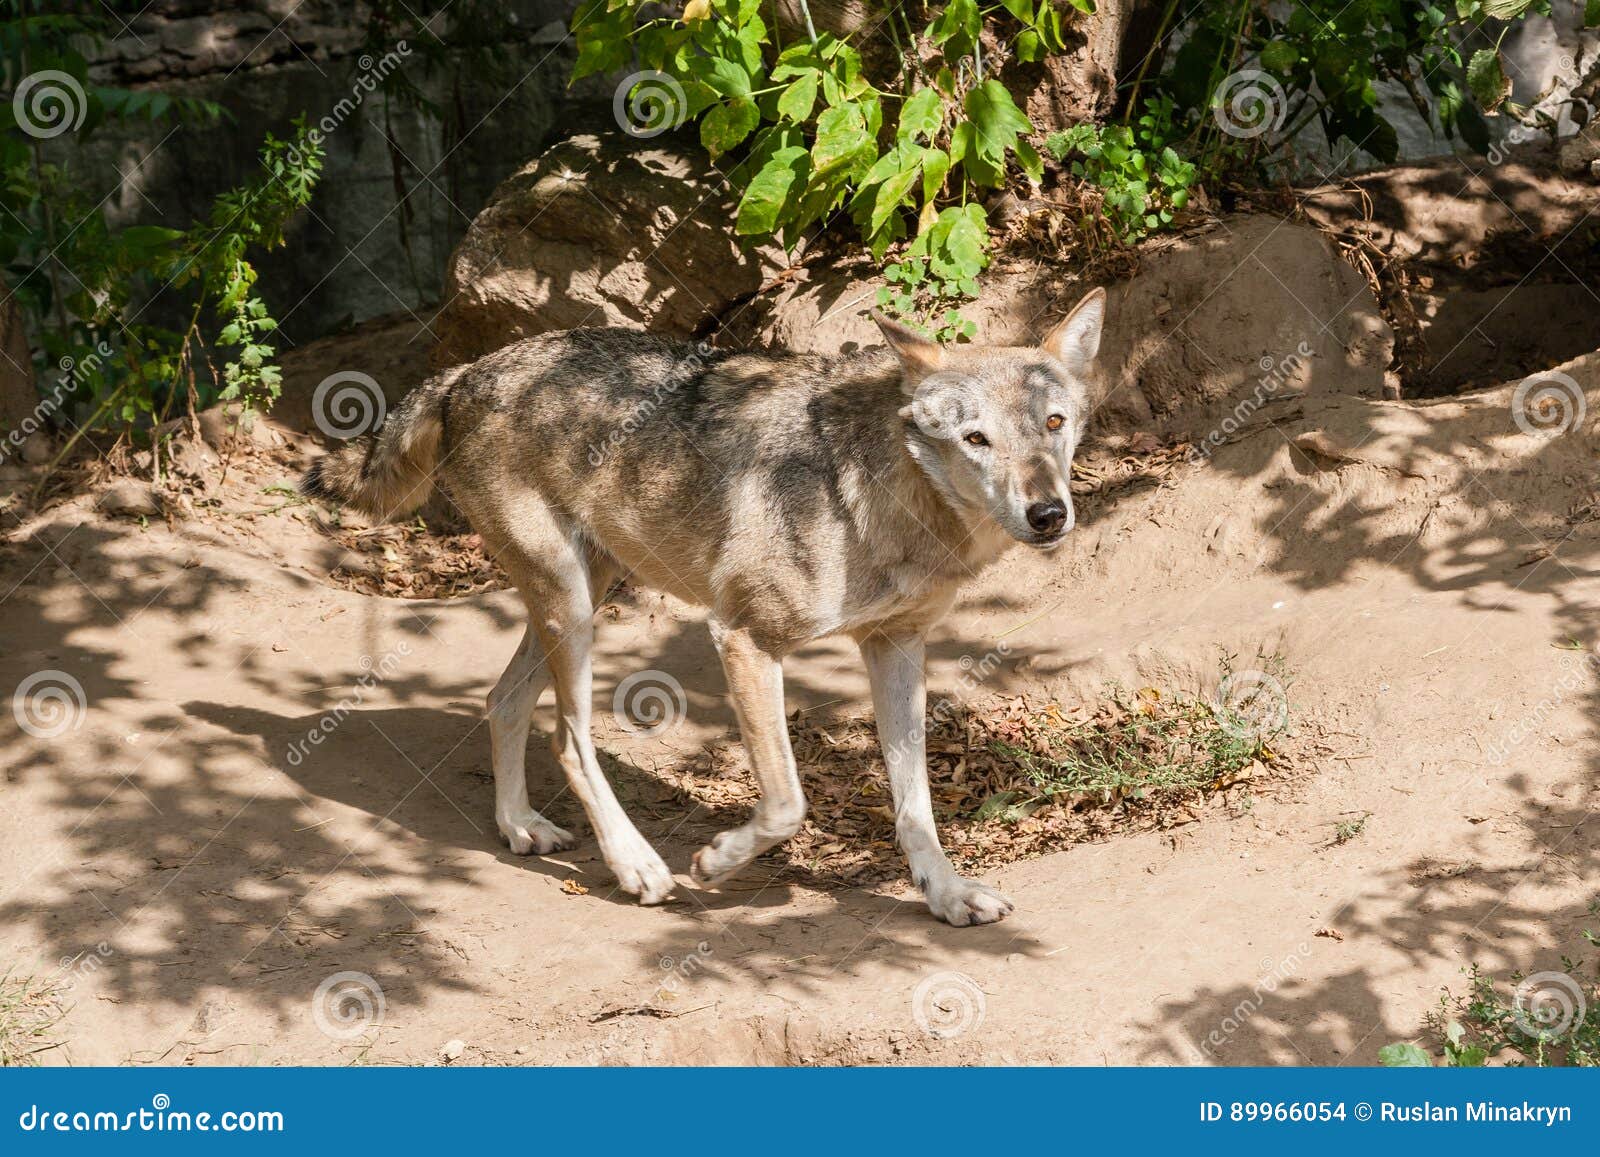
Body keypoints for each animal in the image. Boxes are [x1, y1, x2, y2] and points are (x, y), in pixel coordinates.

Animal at [301, 288, 1105, 925]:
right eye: (976, 439)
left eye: (1055, 424)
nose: (1048, 514)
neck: (880, 492)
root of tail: (463, 372)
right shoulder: (745, 639)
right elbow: (786, 804)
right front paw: (718, 860)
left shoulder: (897, 647)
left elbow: (917, 807)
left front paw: (947, 894)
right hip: (574, 607)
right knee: (568, 737)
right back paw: (635, 864)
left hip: (585, 592)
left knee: (502, 701)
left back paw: (520, 827)